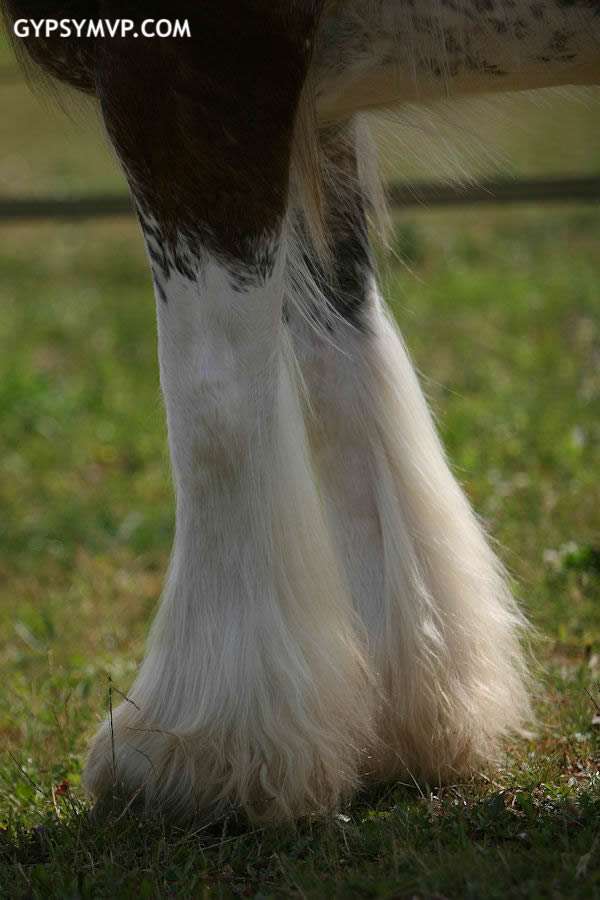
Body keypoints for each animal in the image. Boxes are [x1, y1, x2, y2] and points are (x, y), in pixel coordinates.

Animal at [3, 0, 599, 822]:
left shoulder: (202, 70)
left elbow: (215, 401)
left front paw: (200, 753)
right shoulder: (314, 114)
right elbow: (344, 369)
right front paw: (409, 711)